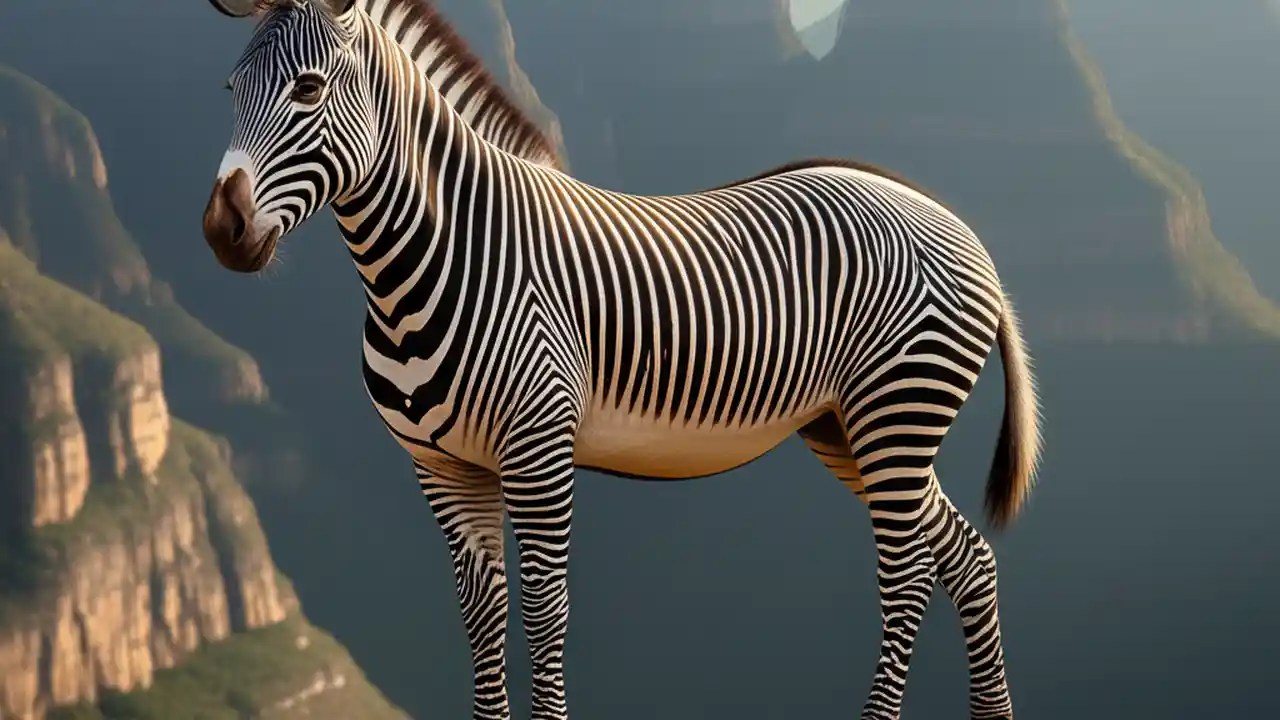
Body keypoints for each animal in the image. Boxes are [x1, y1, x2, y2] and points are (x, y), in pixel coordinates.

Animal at [198, 2, 1042, 718]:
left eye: (308, 89)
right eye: (231, 89)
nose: (220, 229)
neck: (430, 266)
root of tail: (956, 224)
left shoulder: (538, 450)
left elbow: (544, 610)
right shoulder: (441, 466)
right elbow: (482, 615)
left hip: (896, 412)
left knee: (907, 578)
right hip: (849, 429)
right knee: (965, 557)